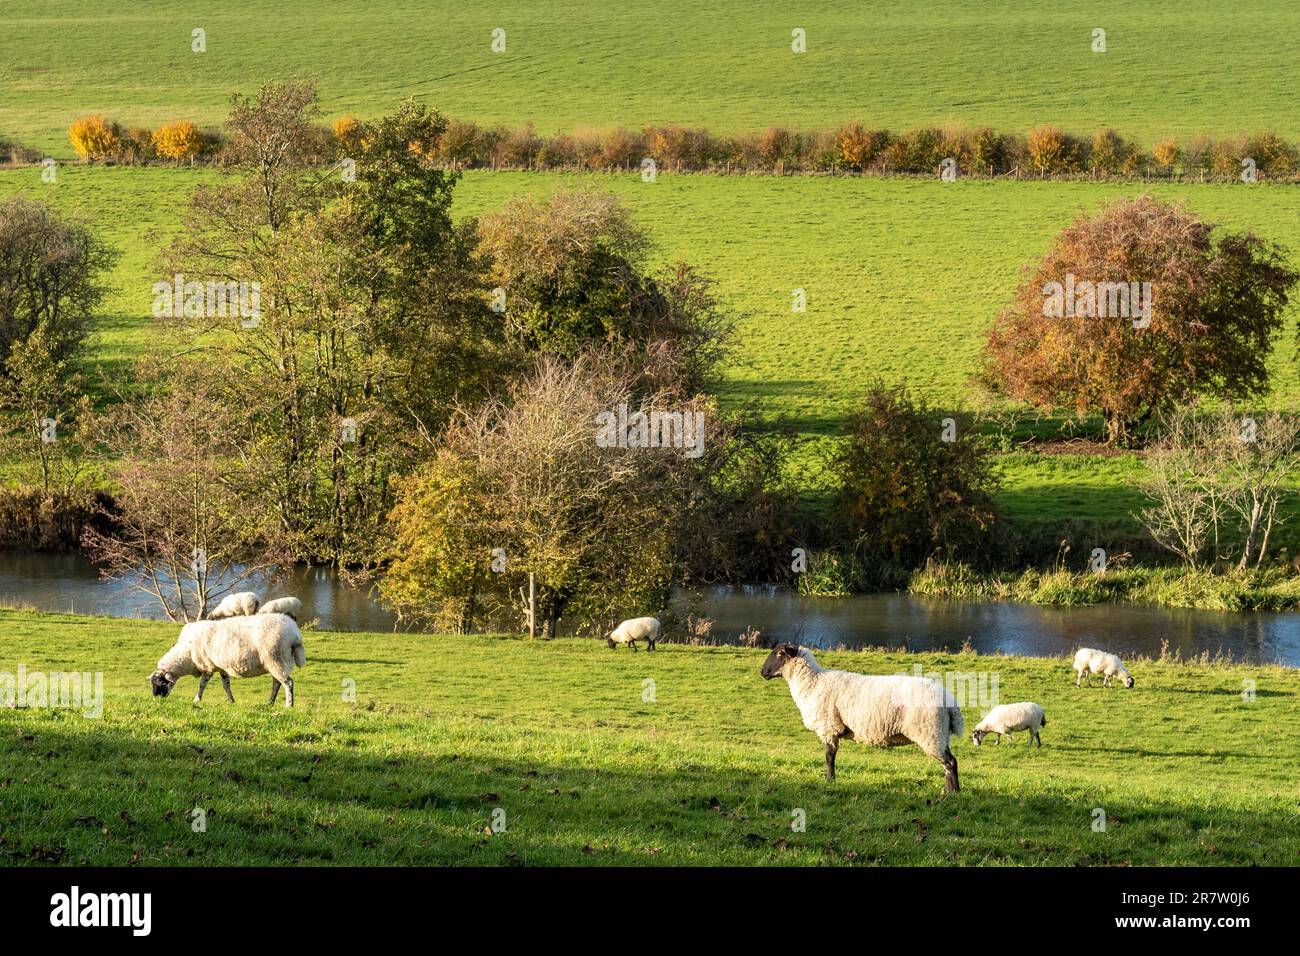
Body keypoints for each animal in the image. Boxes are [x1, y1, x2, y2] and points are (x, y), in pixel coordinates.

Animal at [149, 614, 306, 707]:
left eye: (161, 683)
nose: (156, 699)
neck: (186, 654)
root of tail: (294, 633)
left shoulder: (208, 665)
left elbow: (202, 685)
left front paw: (197, 700)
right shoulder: (220, 667)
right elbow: (226, 685)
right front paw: (231, 701)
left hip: (276, 659)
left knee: (288, 683)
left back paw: (289, 705)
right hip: (276, 662)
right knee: (277, 683)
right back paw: (269, 703)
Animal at [760, 643, 964, 794]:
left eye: (779, 654)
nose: (762, 671)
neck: (813, 682)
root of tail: (948, 700)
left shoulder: (829, 728)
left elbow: (829, 757)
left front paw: (830, 781)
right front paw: (831, 780)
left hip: (930, 733)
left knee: (950, 763)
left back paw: (953, 793)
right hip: (940, 734)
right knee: (949, 762)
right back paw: (949, 791)